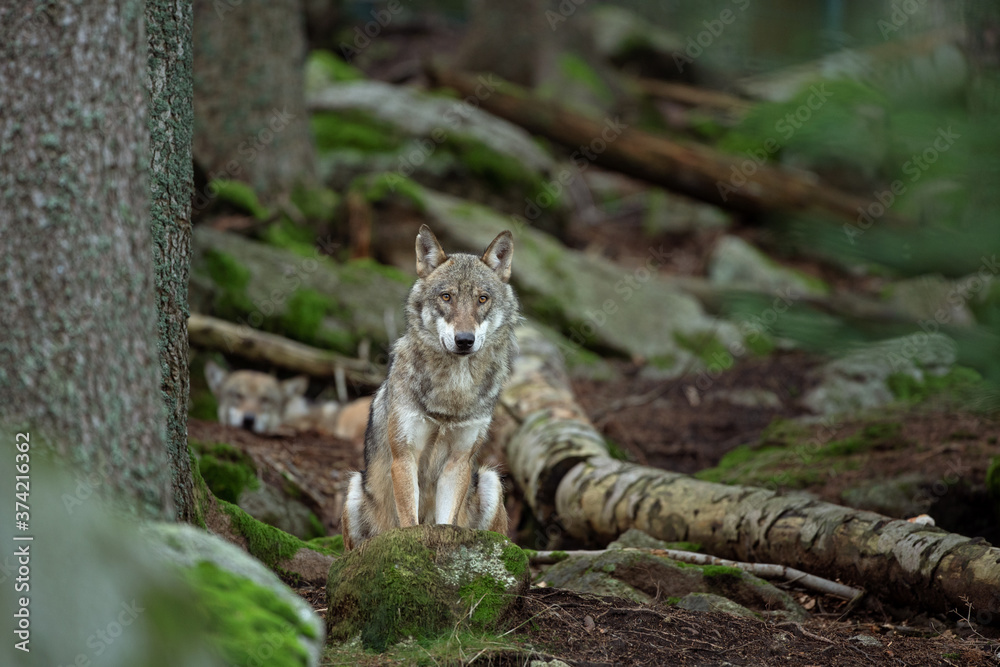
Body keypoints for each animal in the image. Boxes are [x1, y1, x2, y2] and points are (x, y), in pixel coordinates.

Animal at [341, 225, 518, 550]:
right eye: (446, 296)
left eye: (482, 299)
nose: (464, 340)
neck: (451, 394)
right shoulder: (405, 456)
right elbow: (409, 520)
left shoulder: (458, 462)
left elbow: (445, 521)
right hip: (354, 488)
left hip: (490, 481)